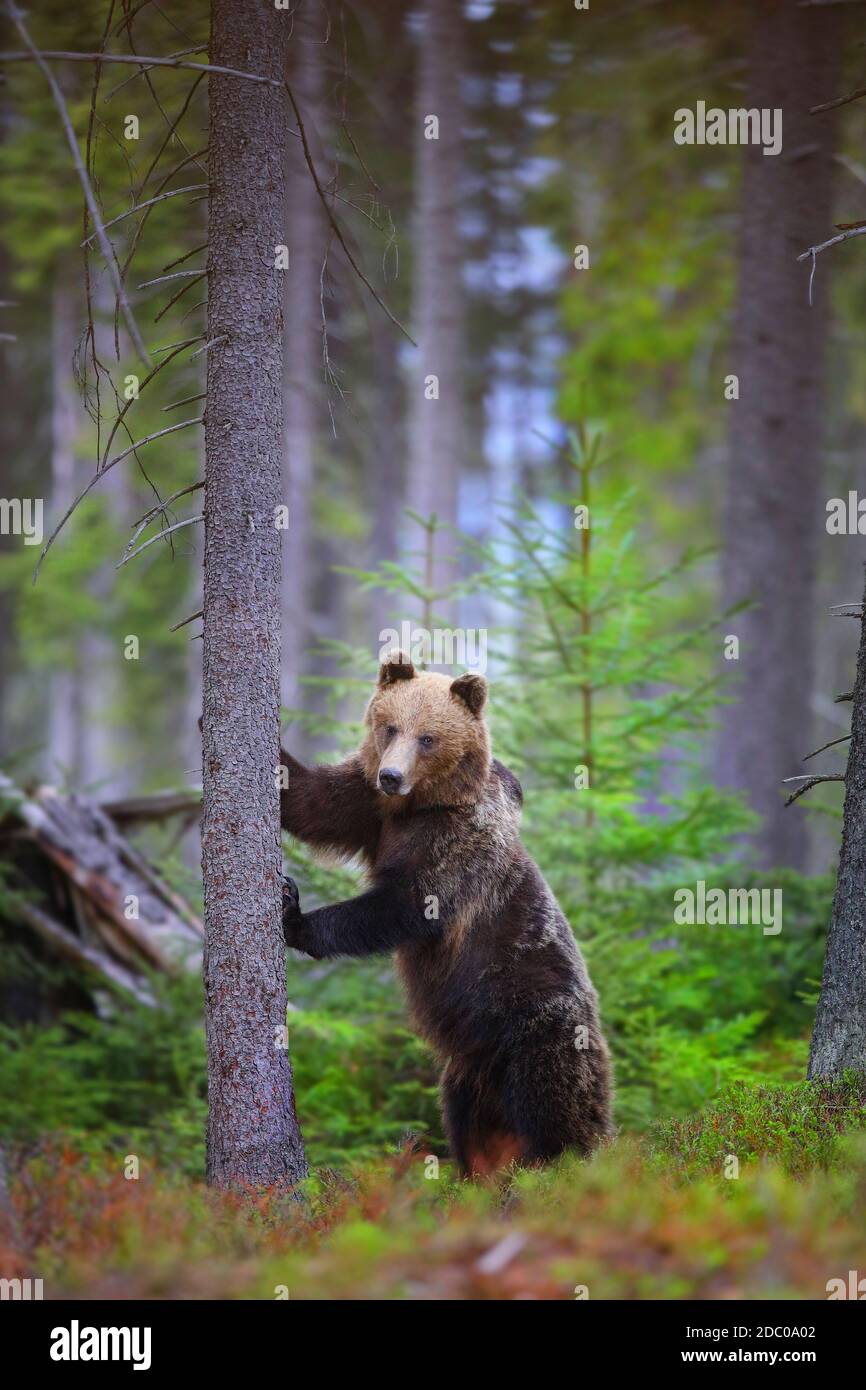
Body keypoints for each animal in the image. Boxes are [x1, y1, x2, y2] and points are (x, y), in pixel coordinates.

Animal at [279, 651, 613, 1177]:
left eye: (428, 737)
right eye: (390, 727)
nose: (391, 776)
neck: (422, 805)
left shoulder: (457, 844)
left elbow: (406, 906)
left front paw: (296, 916)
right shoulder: (369, 806)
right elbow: (315, 803)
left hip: (537, 1023)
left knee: (554, 1103)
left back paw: (556, 1162)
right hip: (468, 1071)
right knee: (465, 1119)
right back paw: (480, 1172)